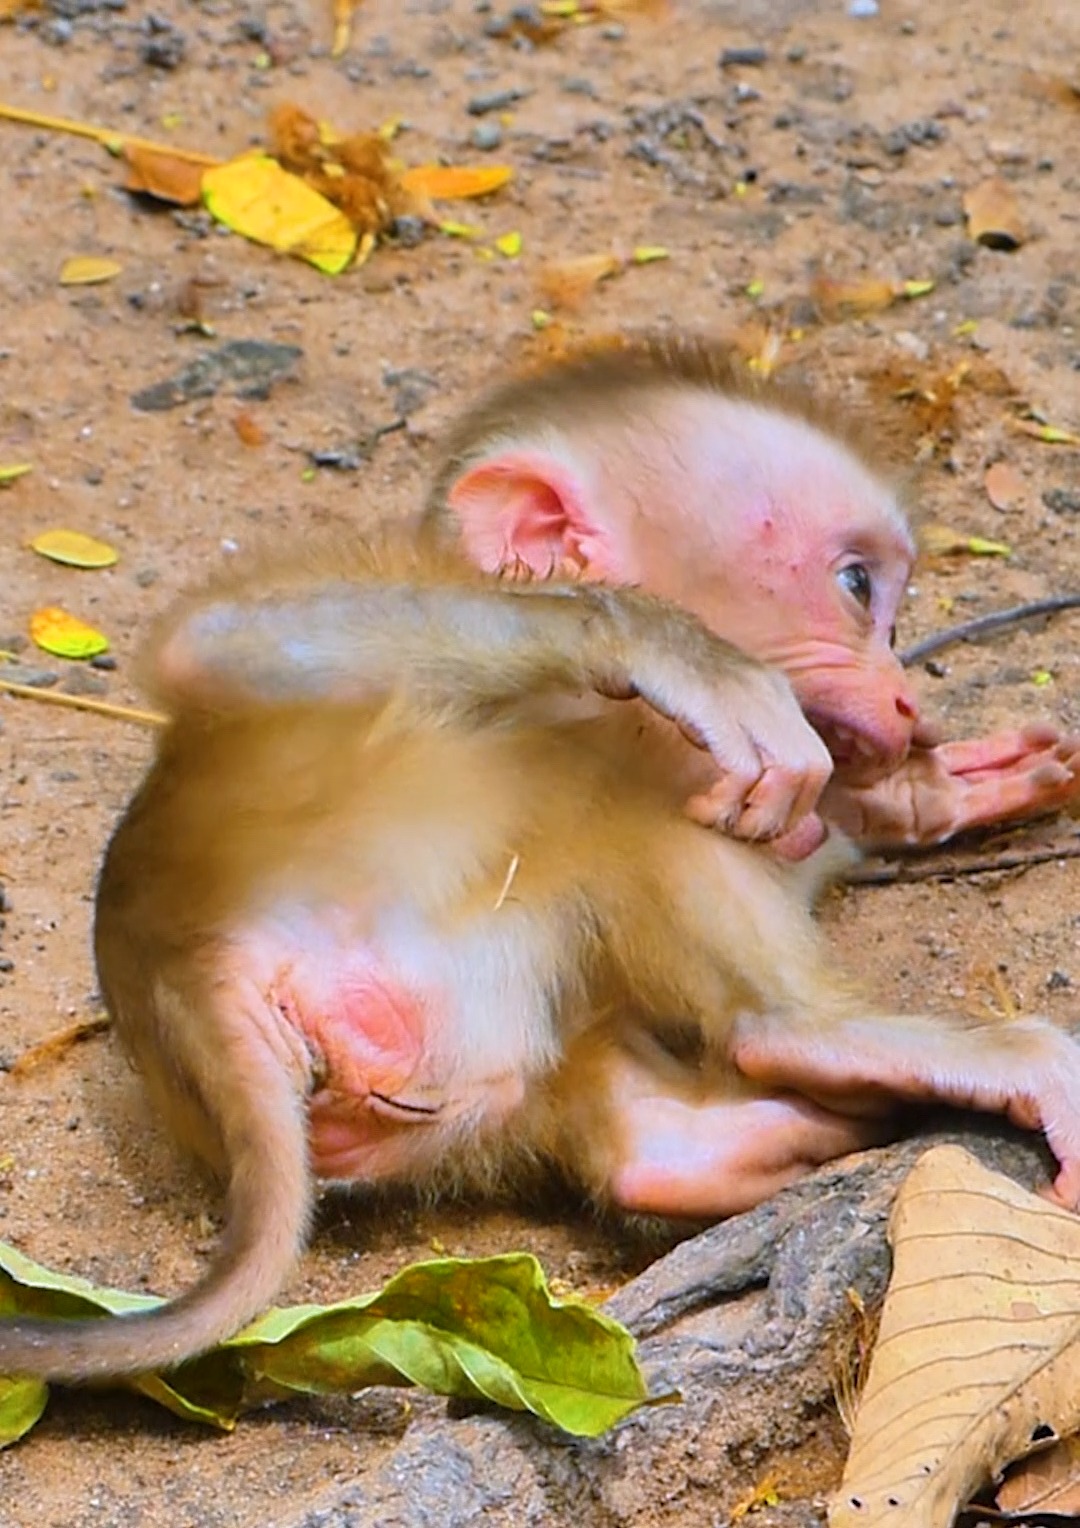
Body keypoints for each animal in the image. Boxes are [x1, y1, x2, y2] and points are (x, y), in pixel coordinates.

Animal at [3, 337, 1080, 1385]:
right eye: (859, 587)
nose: (904, 698)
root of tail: (180, 969)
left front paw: (930, 791)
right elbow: (208, 647)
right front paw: (665, 646)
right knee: (677, 896)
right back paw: (836, 1042)